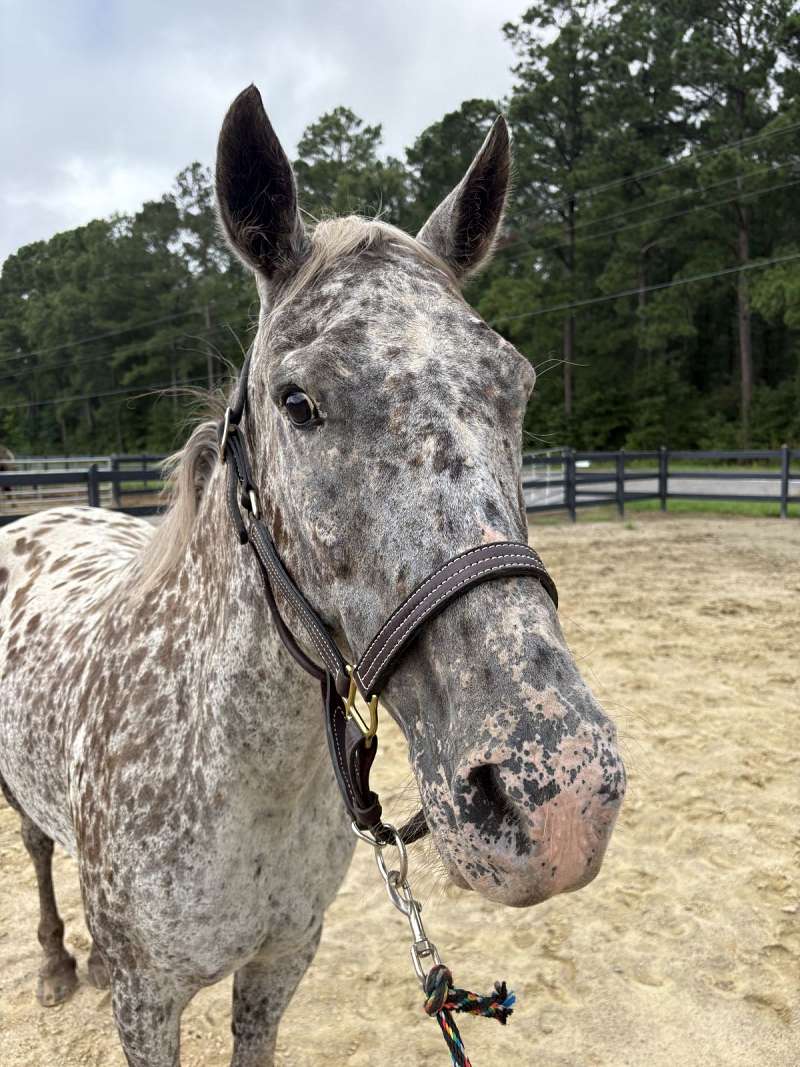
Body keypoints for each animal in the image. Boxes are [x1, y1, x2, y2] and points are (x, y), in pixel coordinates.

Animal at [0, 85, 625, 1066]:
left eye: (518, 386)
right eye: (297, 402)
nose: (561, 799)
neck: (236, 770)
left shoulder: (280, 963)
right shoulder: (148, 1002)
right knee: (34, 848)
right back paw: (62, 963)